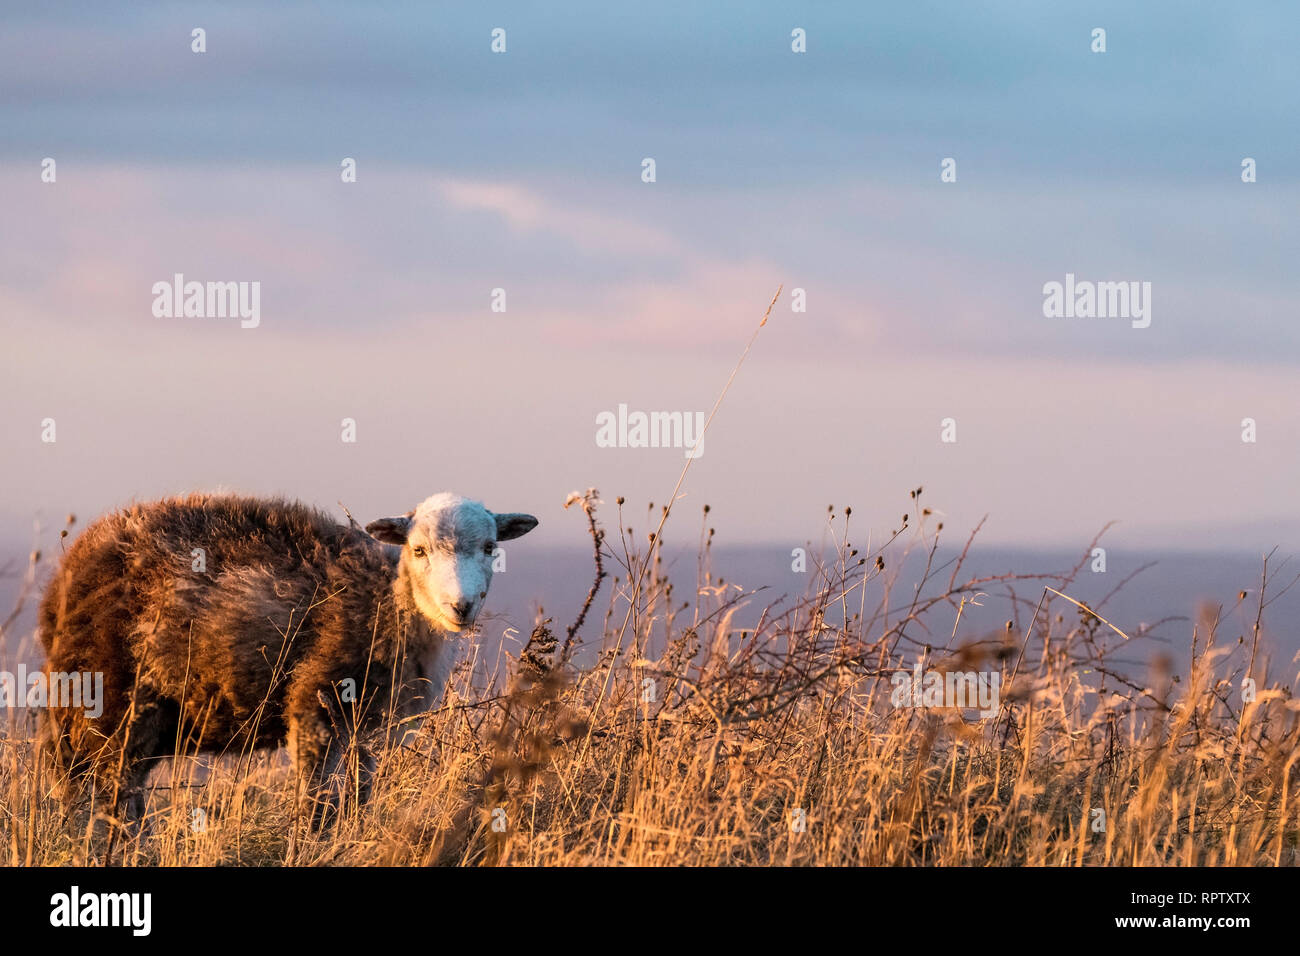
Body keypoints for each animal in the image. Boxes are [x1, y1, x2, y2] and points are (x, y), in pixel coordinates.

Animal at [37, 491, 538, 824]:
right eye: (418, 549)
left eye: (490, 547)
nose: (461, 606)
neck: (386, 603)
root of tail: (63, 582)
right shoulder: (318, 701)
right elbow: (316, 798)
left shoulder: (372, 726)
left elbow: (361, 791)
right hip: (107, 692)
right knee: (102, 787)